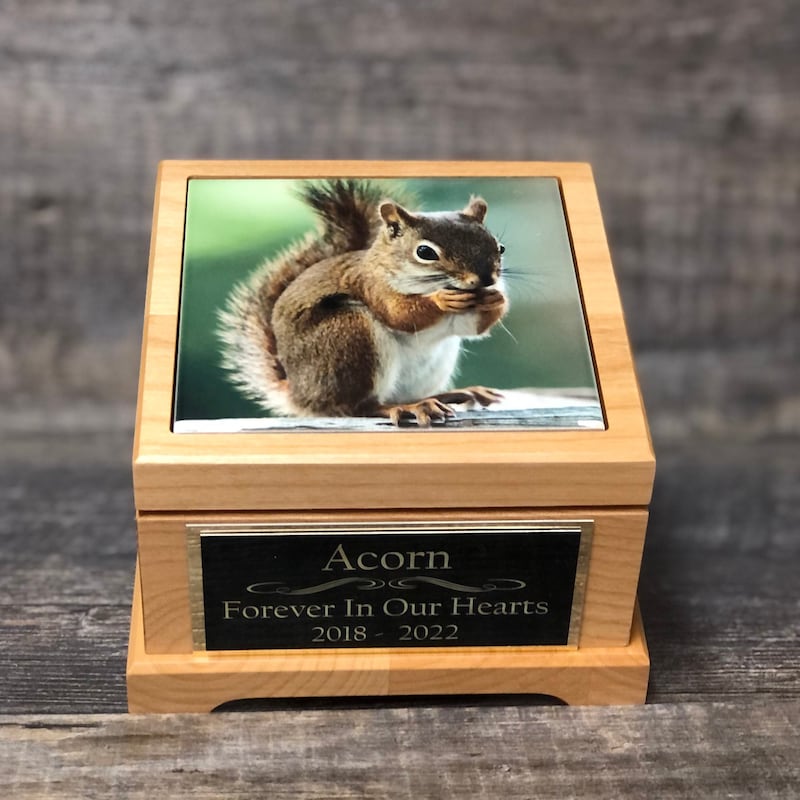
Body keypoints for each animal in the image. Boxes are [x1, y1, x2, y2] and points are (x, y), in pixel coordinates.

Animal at [218, 179, 508, 426]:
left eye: (499, 247)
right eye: (425, 252)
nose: (486, 278)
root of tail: (300, 395)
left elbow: (474, 328)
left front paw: (497, 298)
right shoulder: (373, 287)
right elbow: (400, 314)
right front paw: (441, 299)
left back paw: (450, 395)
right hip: (350, 336)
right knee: (358, 407)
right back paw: (406, 408)